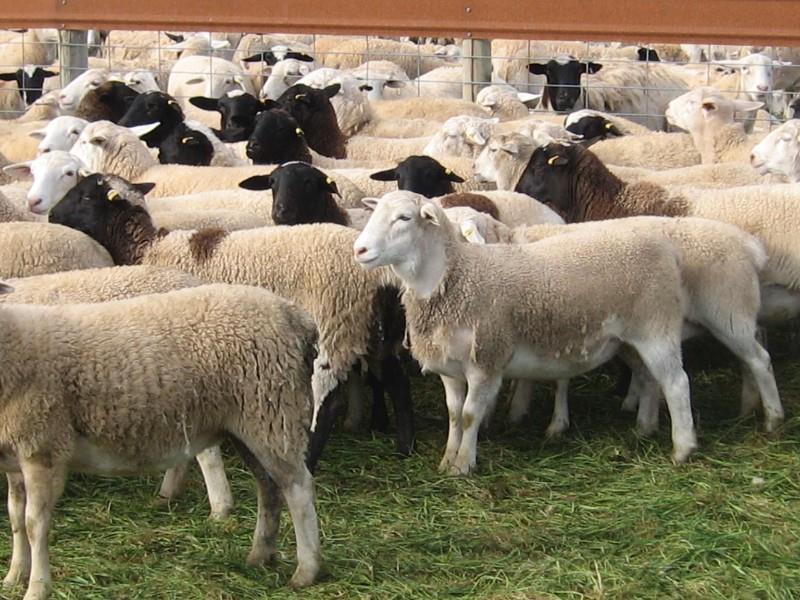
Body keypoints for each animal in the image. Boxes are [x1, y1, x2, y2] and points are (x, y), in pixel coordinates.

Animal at [0, 281, 321, 599]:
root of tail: (296, 315)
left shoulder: (42, 448)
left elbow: (34, 523)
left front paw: (37, 588)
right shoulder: (14, 460)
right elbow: (15, 517)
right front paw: (13, 577)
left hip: (273, 413)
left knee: (298, 488)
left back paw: (306, 571)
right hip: (248, 424)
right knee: (269, 487)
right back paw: (259, 556)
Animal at [49, 175, 413, 465]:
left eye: (84, 195)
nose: (52, 215)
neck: (147, 247)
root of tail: (380, 274)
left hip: (335, 321)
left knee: (327, 396)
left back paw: (310, 457)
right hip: (376, 329)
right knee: (396, 380)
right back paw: (403, 448)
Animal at [354, 190, 698, 473]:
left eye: (404, 218)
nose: (359, 250)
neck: (456, 277)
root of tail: (666, 249)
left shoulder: (486, 360)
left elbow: (469, 415)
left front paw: (464, 465)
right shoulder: (449, 367)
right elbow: (453, 414)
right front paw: (447, 460)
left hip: (656, 326)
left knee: (677, 383)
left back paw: (683, 448)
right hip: (632, 339)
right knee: (650, 378)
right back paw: (645, 426)